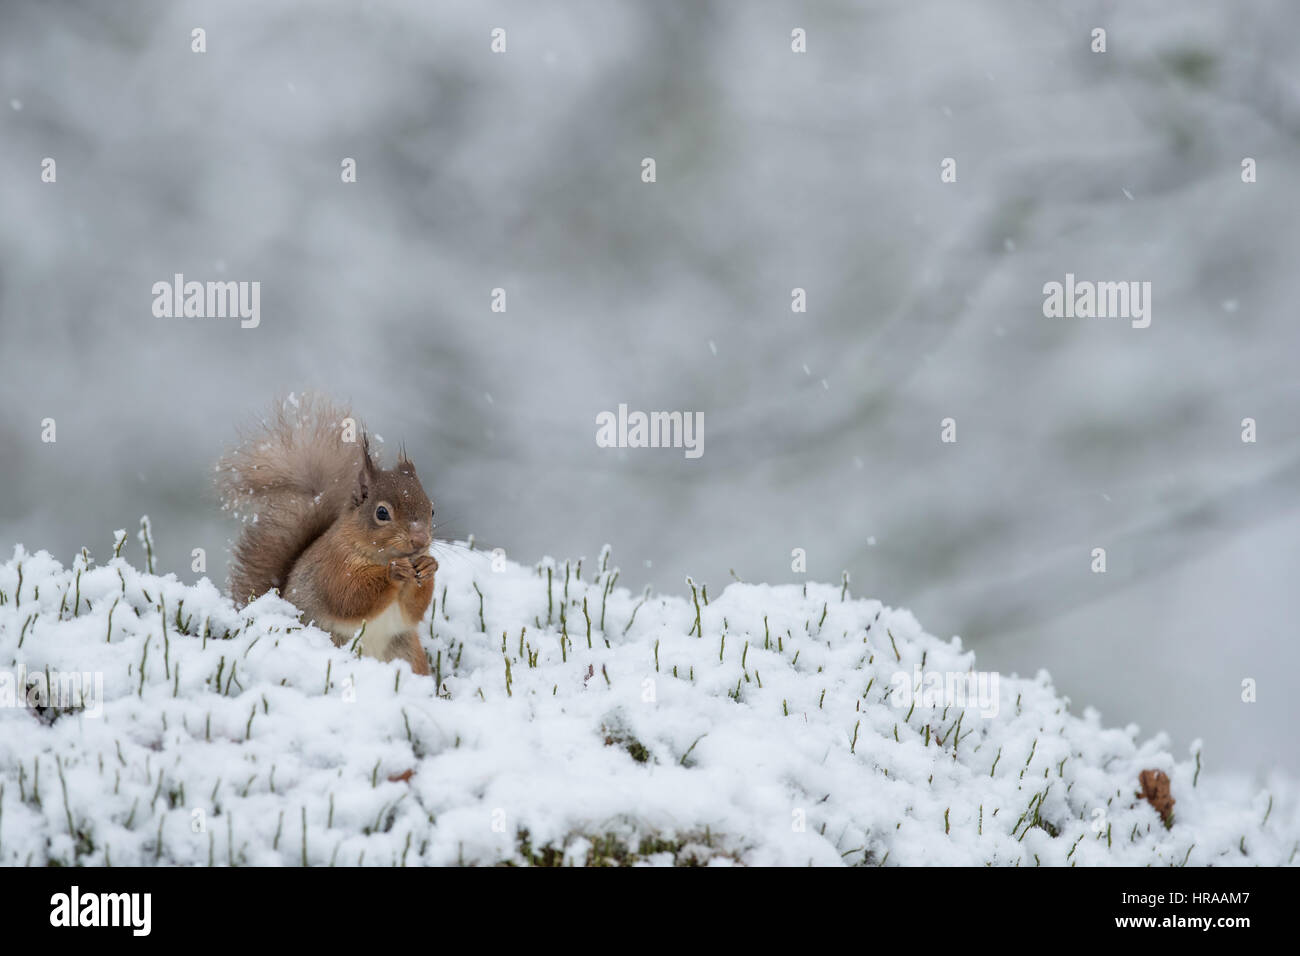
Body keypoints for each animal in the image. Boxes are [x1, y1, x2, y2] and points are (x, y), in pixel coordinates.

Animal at [215, 394, 437, 675]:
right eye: (382, 513)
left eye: (432, 510)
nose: (421, 541)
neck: (379, 556)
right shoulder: (333, 567)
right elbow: (350, 598)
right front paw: (395, 571)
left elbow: (413, 610)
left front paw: (429, 565)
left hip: (407, 652)